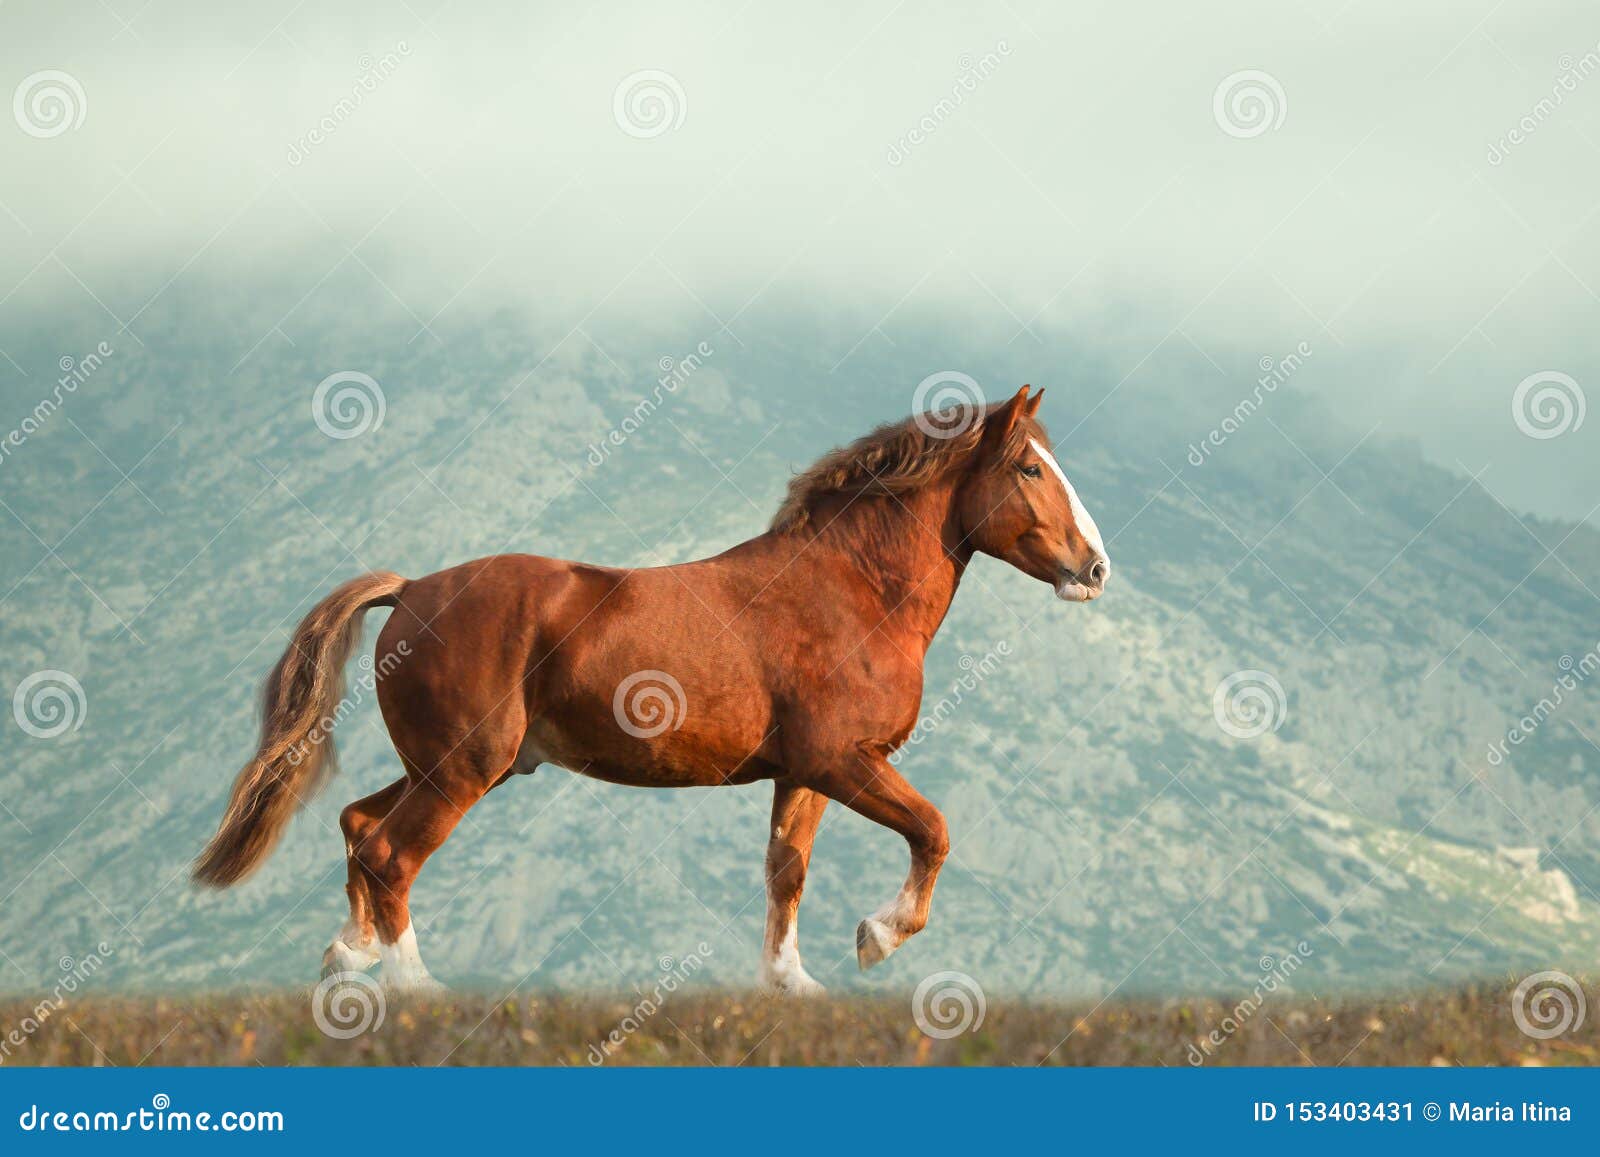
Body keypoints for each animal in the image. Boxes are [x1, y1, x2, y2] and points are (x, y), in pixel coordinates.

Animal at [193, 384, 1110, 993]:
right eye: (1029, 467)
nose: (1095, 568)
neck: (850, 591)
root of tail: (413, 588)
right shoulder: (843, 760)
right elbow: (933, 830)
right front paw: (879, 936)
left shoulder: (802, 773)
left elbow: (786, 872)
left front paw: (792, 985)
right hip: (462, 769)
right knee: (390, 855)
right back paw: (416, 989)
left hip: (458, 765)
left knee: (358, 825)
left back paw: (348, 955)